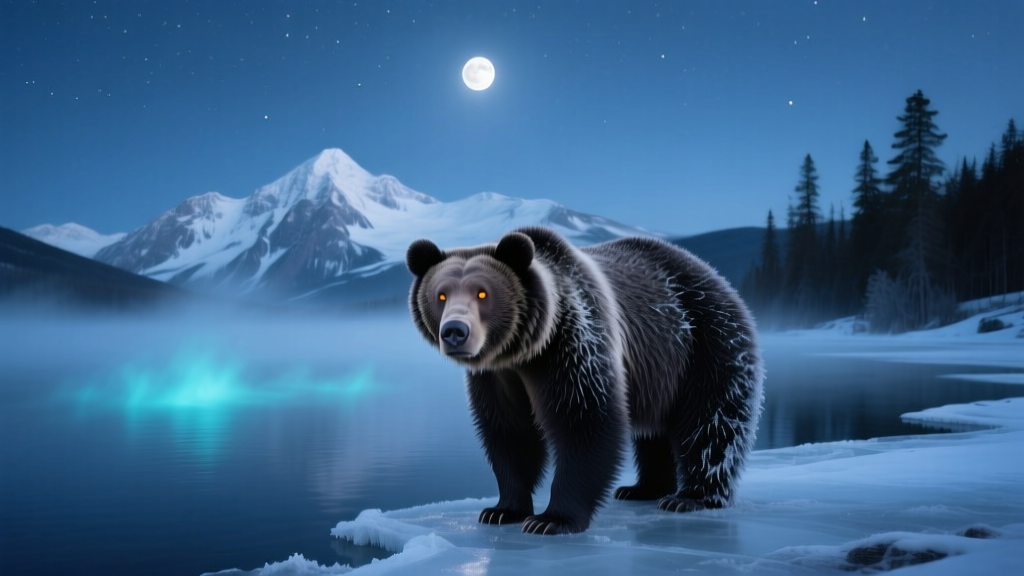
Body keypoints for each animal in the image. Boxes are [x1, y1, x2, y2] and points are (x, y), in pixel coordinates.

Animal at [406, 226, 763, 535]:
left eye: (482, 293)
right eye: (440, 295)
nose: (454, 331)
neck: (524, 351)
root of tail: (719, 279)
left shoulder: (574, 342)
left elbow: (583, 420)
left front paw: (551, 519)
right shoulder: (497, 377)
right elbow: (509, 432)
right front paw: (502, 510)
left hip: (704, 345)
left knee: (711, 425)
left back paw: (690, 498)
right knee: (654, 433)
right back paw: (642, 488)